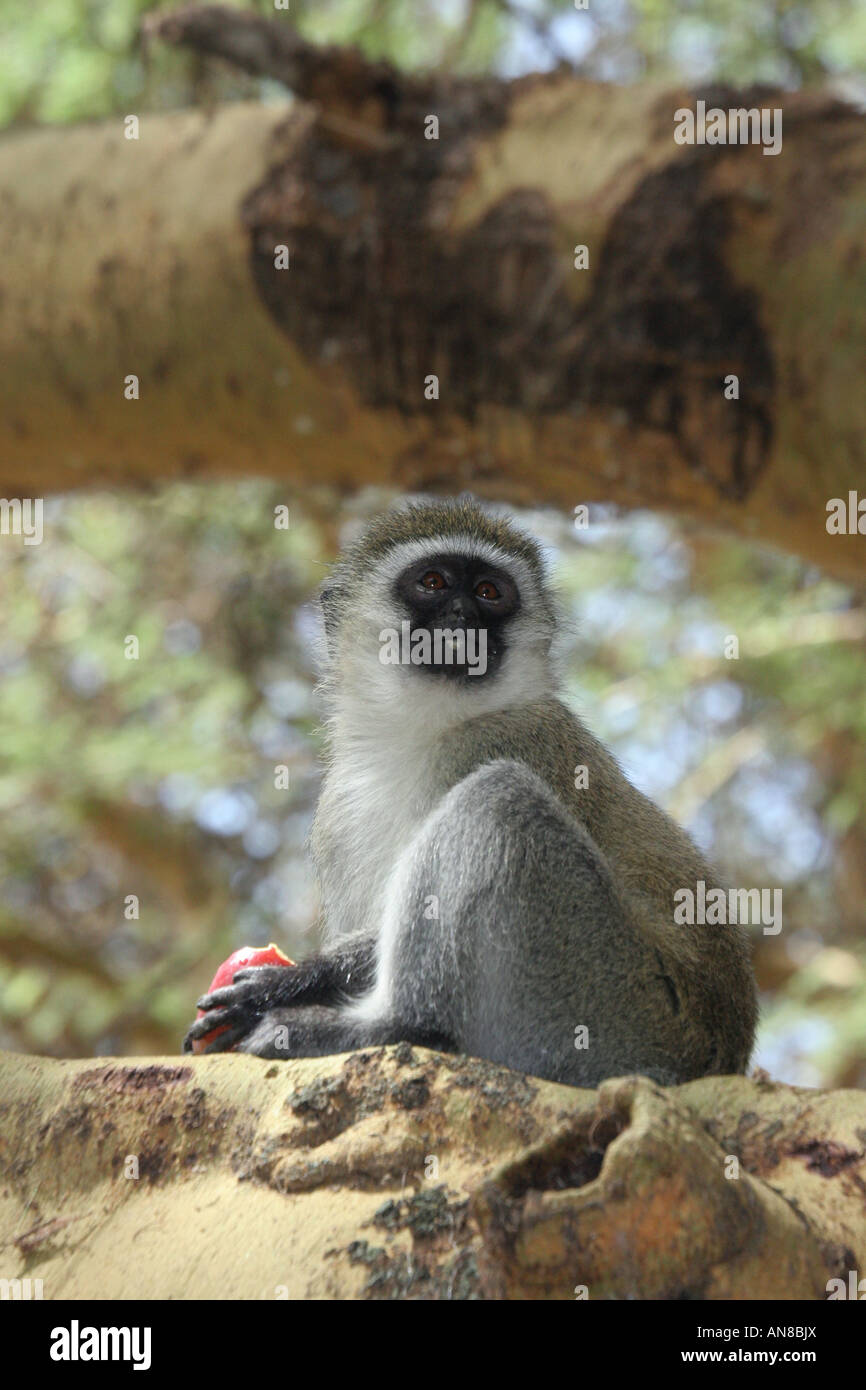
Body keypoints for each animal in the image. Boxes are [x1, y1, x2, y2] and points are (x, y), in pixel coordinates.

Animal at [184, 498, 757, 1087]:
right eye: (433, 582)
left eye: (489, 592)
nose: (463, 616)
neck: (421, 728)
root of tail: (718, 1061)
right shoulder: (336, 810)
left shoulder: (510, 738)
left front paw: (286, 984)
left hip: (619, 1002)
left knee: (498, 799)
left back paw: (398, 1026)